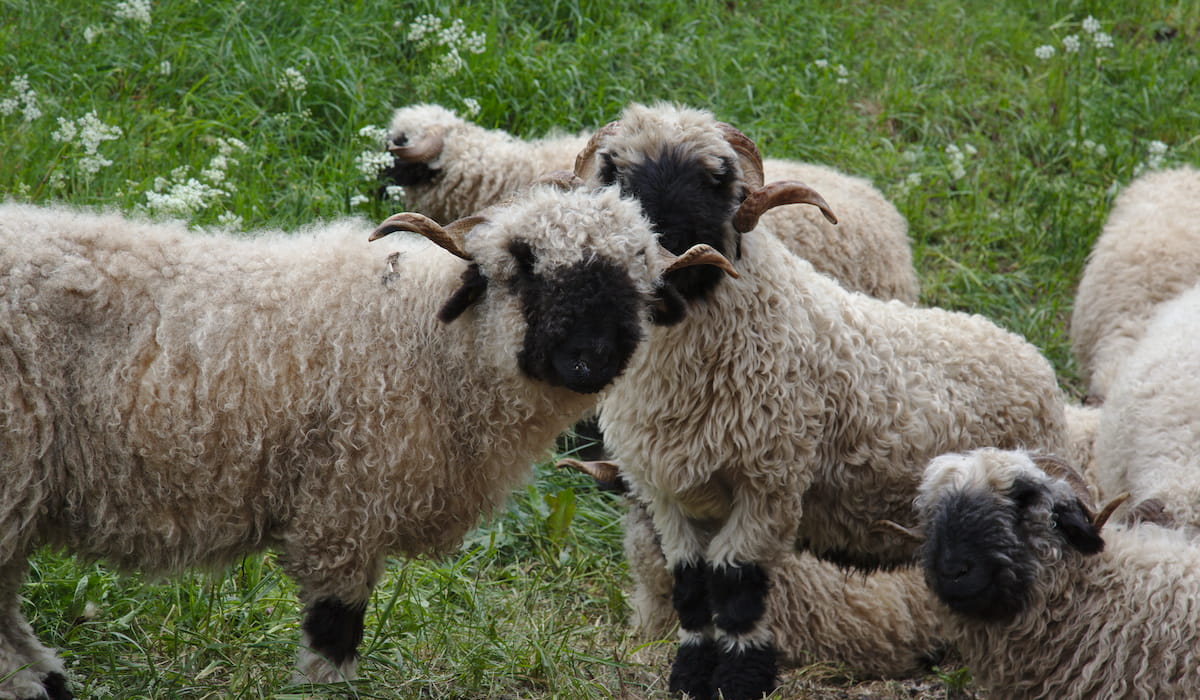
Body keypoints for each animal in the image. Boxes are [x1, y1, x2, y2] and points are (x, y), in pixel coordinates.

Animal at [0, 188, 735, 700]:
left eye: (637, 275)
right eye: (522, 266)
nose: (589, 358)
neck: (426, 338)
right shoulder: (343, 506)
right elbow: (334, 636)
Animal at [577, 103, 1069, 700]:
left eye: (718, 178)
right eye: (615, 173)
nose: (671, 261)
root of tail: (1029, 354)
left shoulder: (770, 482)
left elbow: (736, 585)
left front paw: (742, 679)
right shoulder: (667, 490)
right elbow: (692, 585)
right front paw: (691, 677)